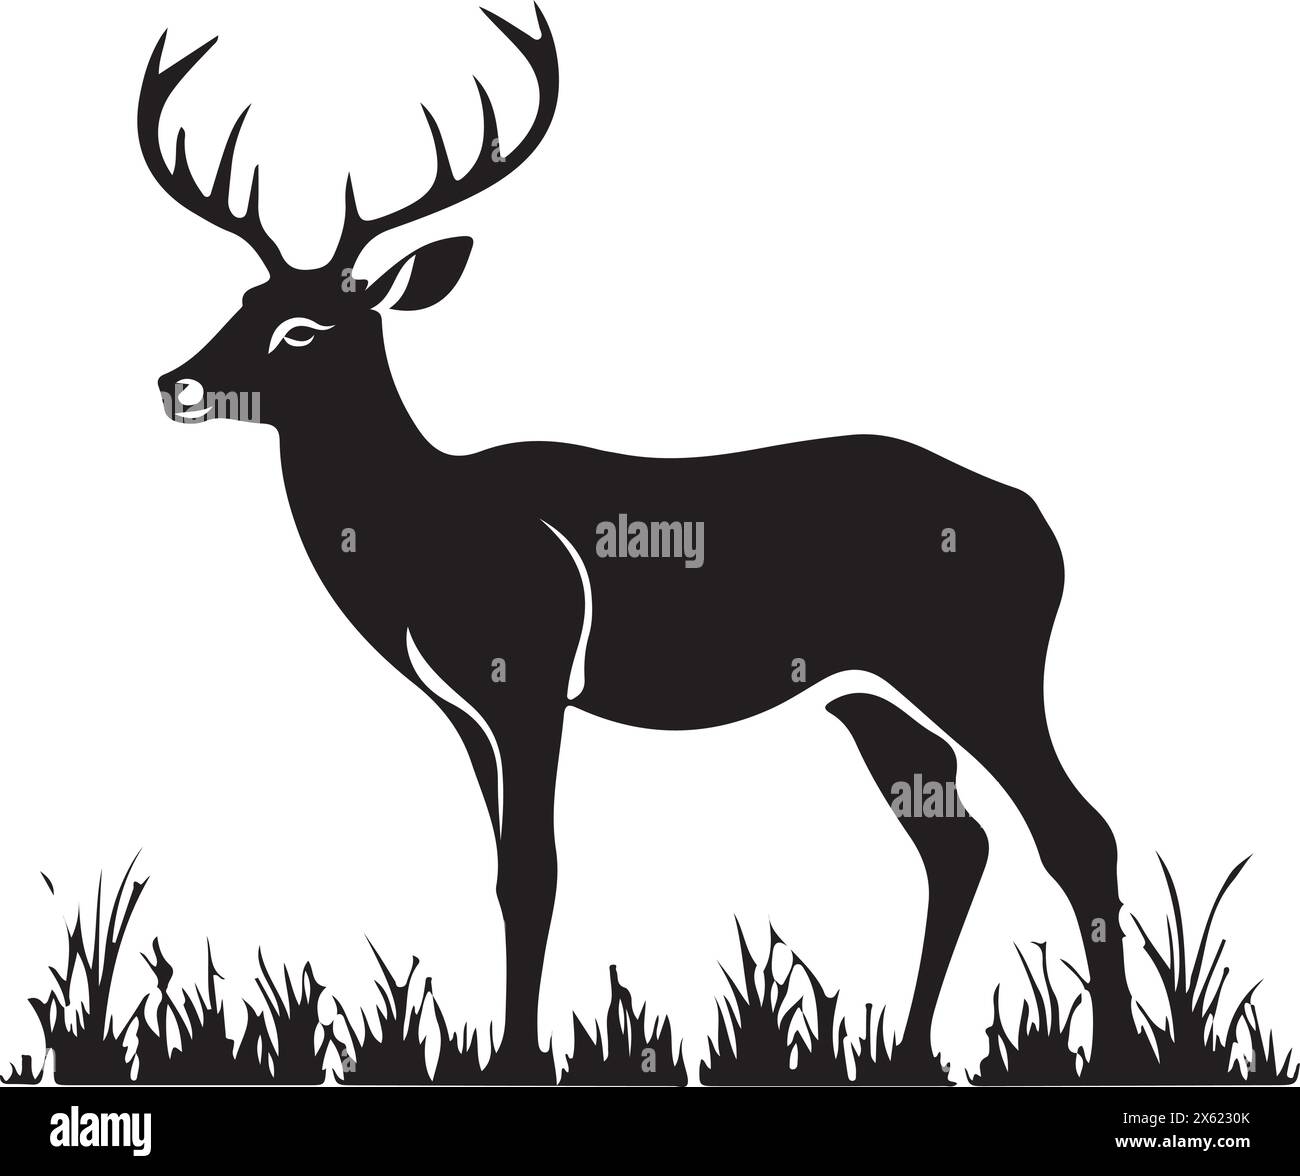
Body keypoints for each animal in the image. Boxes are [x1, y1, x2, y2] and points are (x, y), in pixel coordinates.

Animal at [139, 5, 1149, 1082]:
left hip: (980, 668)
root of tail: (1040, 527)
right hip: (870, 698)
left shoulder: (529, 671)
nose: (177, 383)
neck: (429, 532)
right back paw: (911, 1049)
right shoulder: (463, 708)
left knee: (1075, 830)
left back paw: (1115, 1053)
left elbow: (534, 871)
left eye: (304, 329)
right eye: (241, 303)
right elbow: (499, 868)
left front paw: (517, 1061)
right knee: (956, 843)